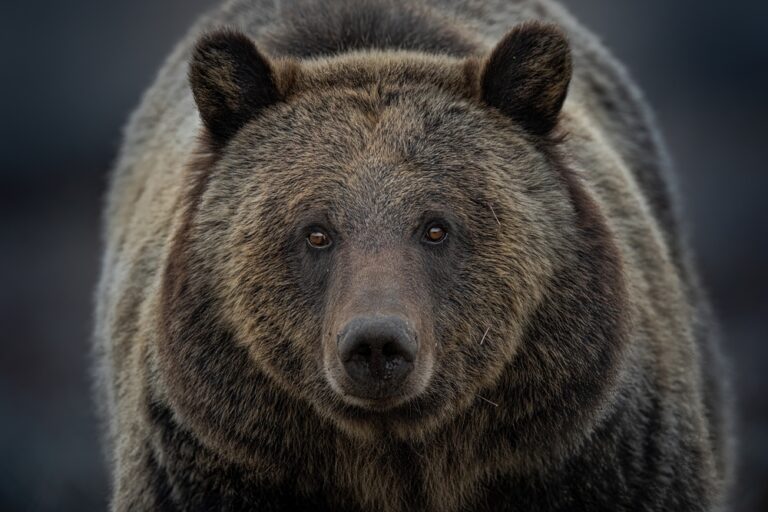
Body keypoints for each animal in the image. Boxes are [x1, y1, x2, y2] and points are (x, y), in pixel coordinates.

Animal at [93, 0, 732, 510]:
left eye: (435, 228)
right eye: (316, 232)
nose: (376, 344)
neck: (398, 454)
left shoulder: (591, 452)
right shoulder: (214, 456)